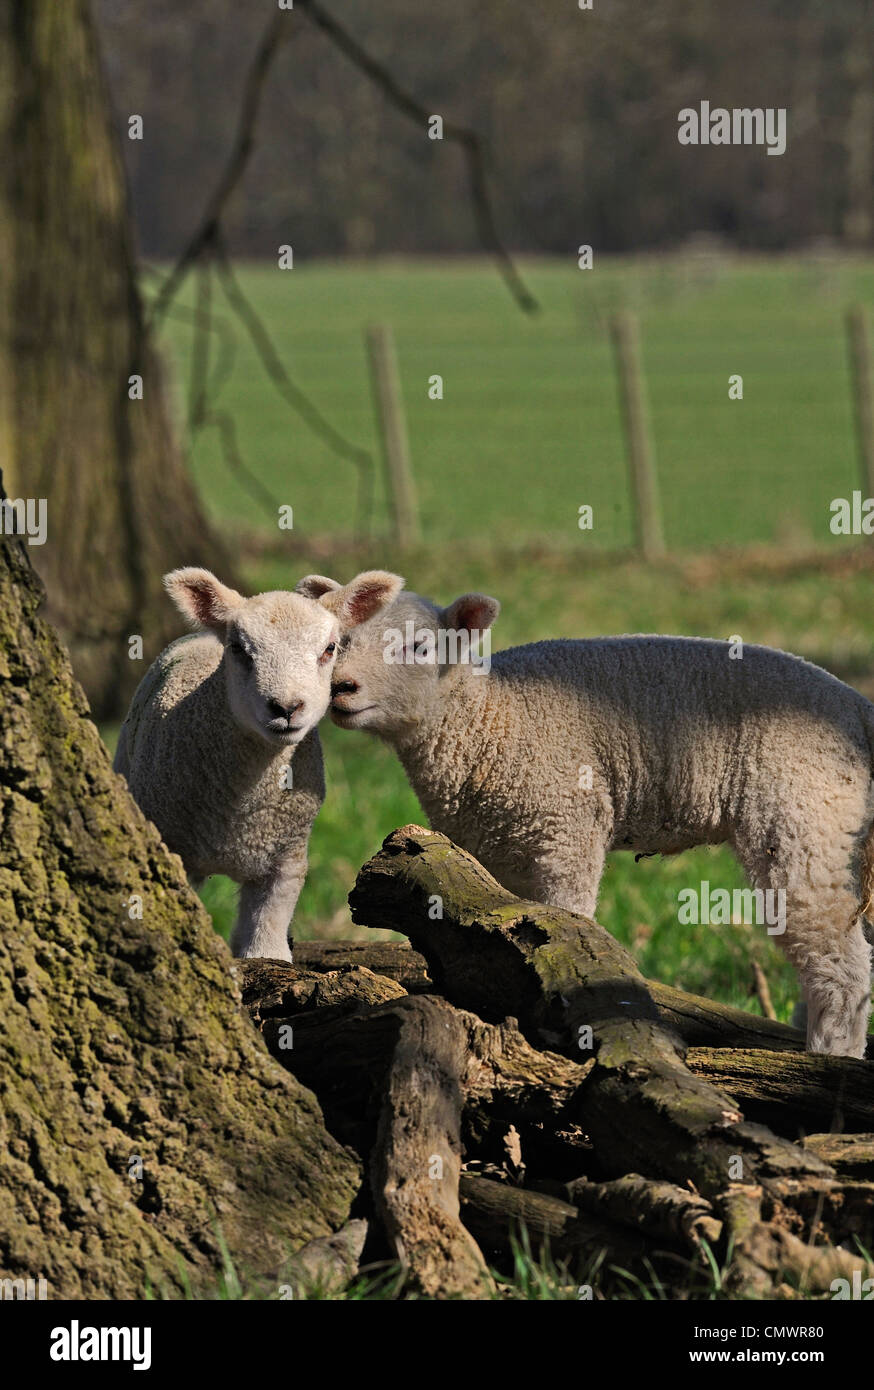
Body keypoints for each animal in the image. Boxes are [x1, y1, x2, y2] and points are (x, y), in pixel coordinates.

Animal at [114, 567, 400, 960]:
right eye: (238, 648)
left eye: (330, 649)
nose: (286, 707)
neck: (242, 815)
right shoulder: (171, 847)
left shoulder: (285, 860)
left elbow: (267, 939)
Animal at [301, 570, 874, 1058]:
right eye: (338, 644)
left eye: (419, 647)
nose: (342, 688)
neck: (489, 717)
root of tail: (858, 710)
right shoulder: (504, 848)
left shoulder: (564, 826)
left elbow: (564, 921)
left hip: (804, 817)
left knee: (840, 967)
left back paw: (830, 1059)